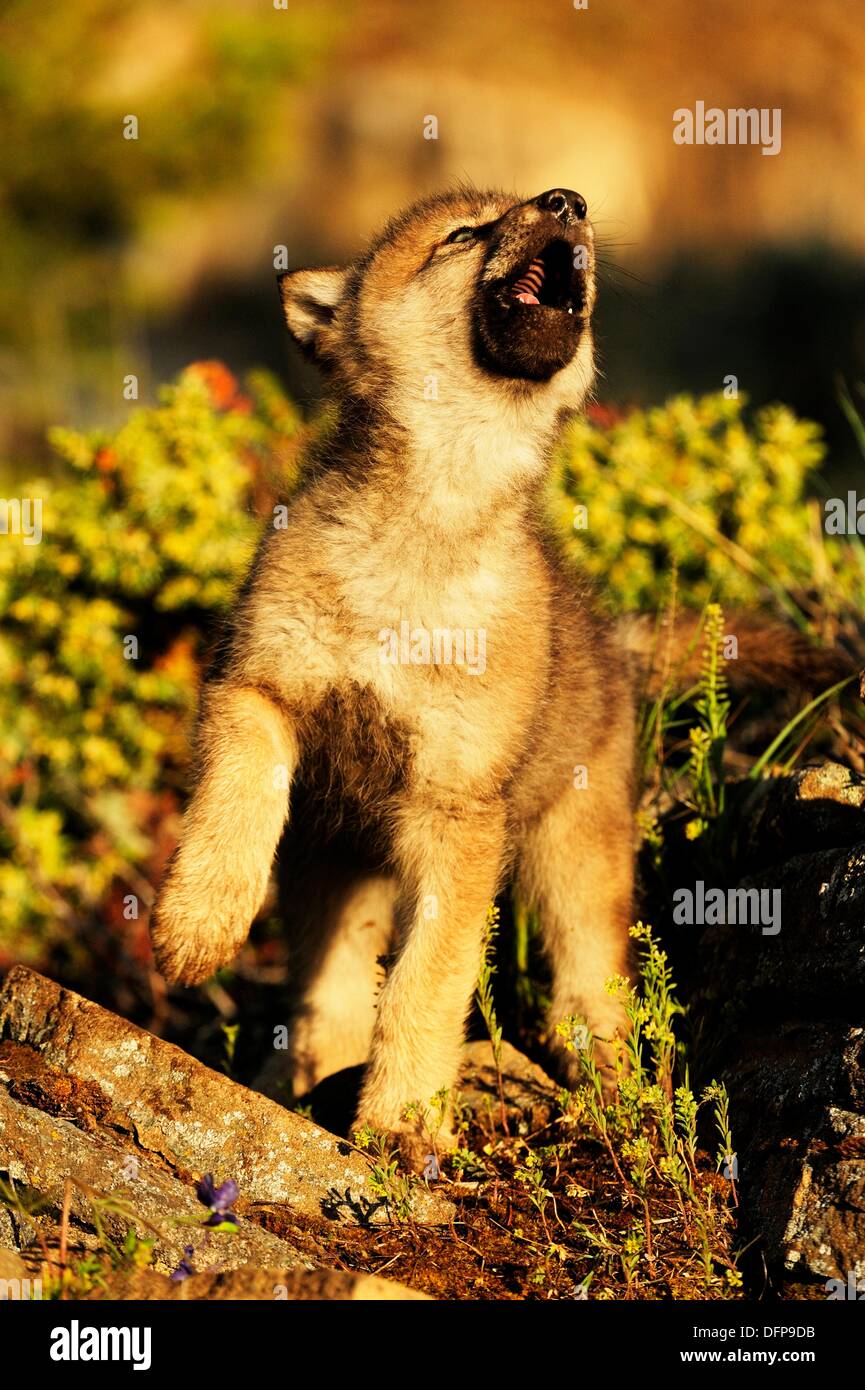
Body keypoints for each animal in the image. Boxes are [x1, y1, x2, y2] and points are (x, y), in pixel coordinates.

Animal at [151, 186, 846, 1165]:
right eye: (462, 234)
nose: (568, 200)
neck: (431, 528)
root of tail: (609, 640)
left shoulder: (459, 812)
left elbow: (428, 983)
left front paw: (403, 1121)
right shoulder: (255, 691)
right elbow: (234, 808)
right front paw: (196, 924)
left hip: (572, 855)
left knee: (588, 981)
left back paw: (608, 1086)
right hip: (336, 862)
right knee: (329, 992)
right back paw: (297, 1076)